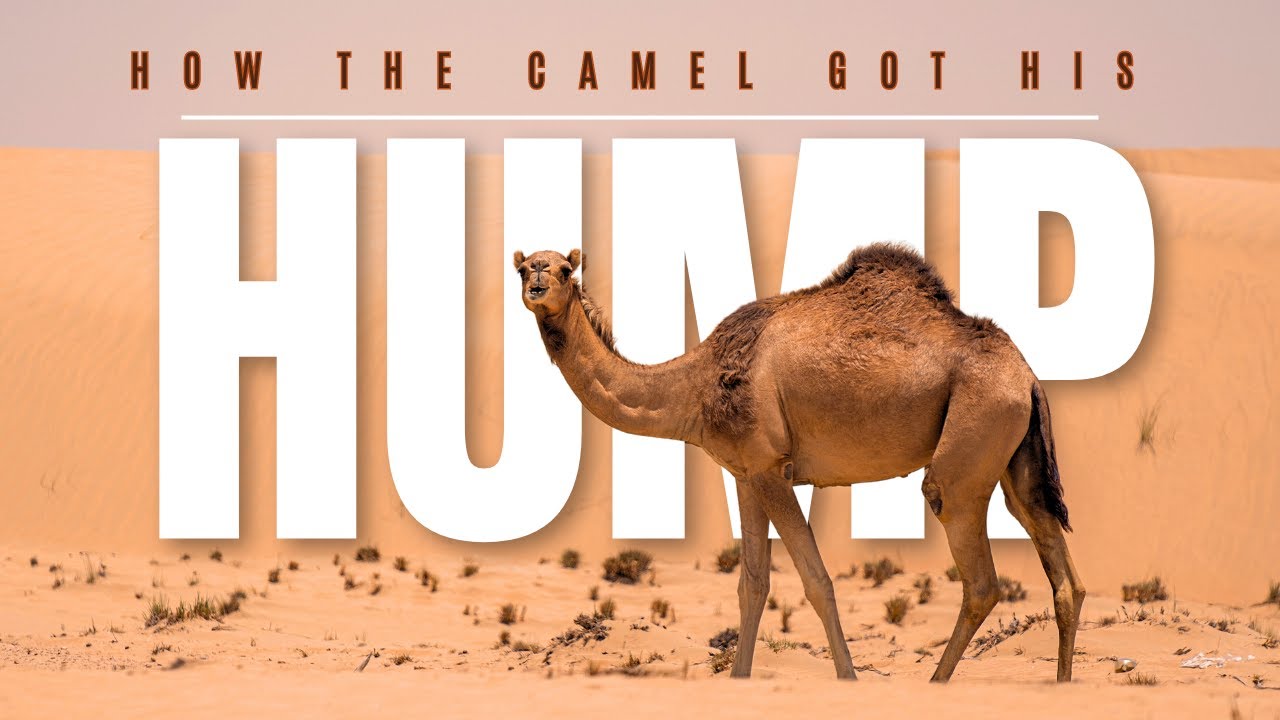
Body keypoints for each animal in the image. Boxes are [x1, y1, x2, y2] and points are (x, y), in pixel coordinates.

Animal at [512, 243, 1085, 683]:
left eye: (564, 269)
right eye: (523, 268)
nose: (537, 279)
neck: (693, 386)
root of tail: (1028, 376)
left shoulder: (771, 469)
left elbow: (817, 581)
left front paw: (848, 678)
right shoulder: (743, 473)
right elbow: (752, 585)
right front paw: (740, 679)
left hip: (971, 439)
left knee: (977, 571)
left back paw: (936, 683)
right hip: (1016, 457)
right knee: (1058, 564)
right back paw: (1061, 683)